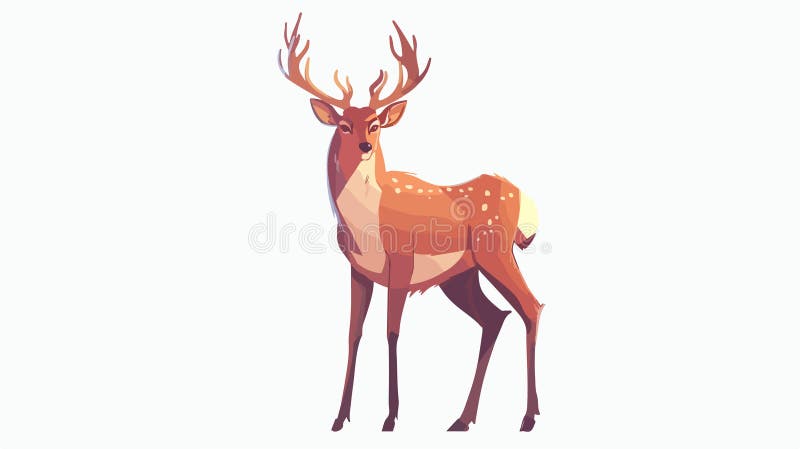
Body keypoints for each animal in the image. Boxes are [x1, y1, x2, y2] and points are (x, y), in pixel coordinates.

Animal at [277, 13, 544, 432]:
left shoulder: (401, 260)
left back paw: (528, 416)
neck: (368, 225)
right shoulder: (358, 270)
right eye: (344, 125)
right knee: (493, 317)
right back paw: (462, 419)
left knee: (531, 307)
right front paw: (339, 418)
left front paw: (390, 418)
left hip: (496, 251)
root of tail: (523, 198)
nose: (366, 146)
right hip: (461, 276)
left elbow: (391, 331)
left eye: (375, 124)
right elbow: (353, 333)